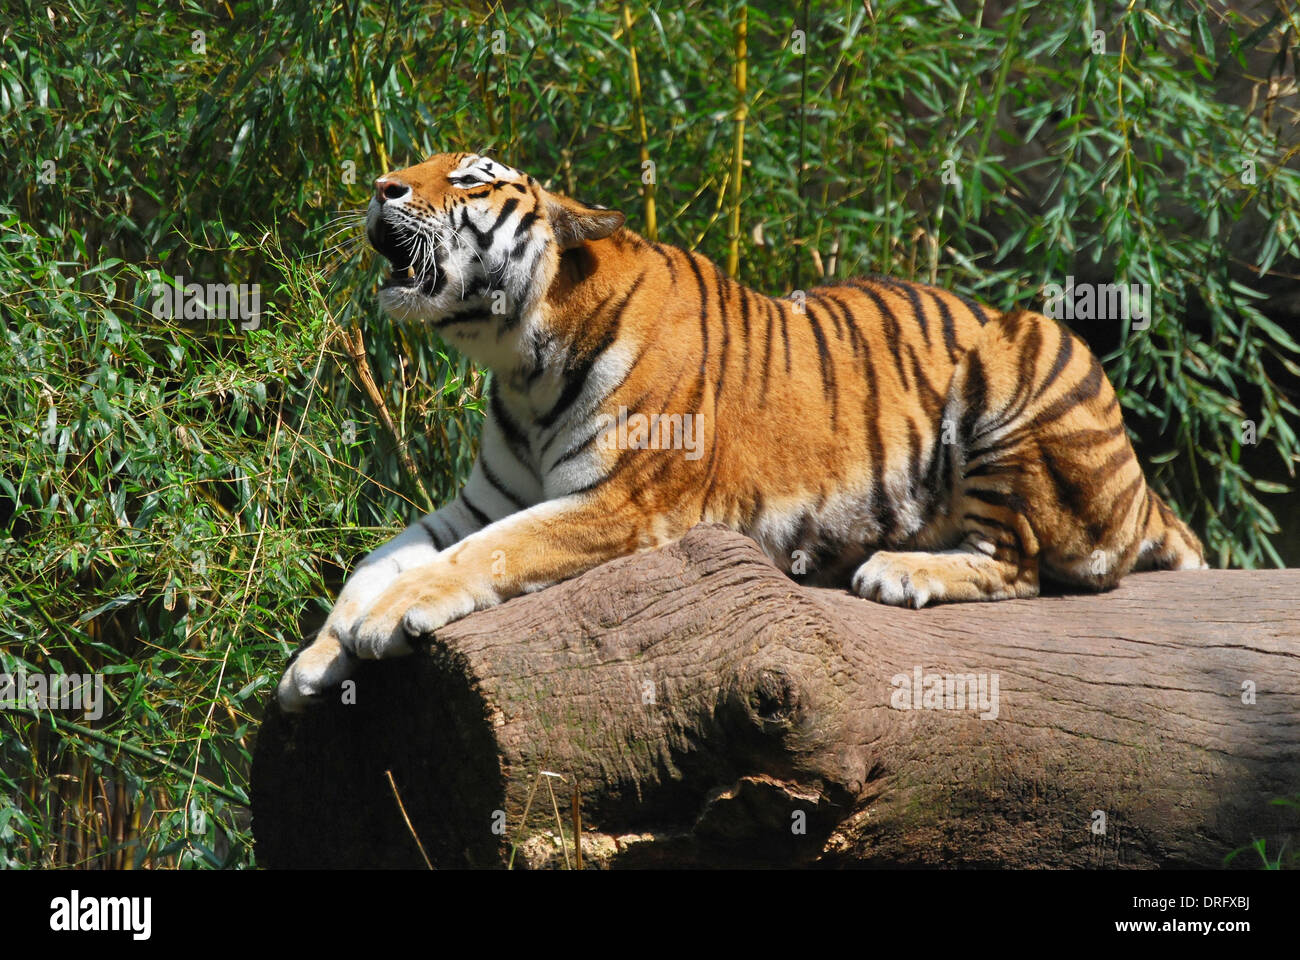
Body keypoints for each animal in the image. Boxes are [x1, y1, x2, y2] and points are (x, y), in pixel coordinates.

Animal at [276, 151, 1206, 711]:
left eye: (470, 181)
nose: (380, 188)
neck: (520, 357)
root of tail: (1145, 487)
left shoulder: (620, 503)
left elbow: (488, 553)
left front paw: (387, 621)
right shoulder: (479, 500)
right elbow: (379, 559)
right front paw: (314, 661)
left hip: (1021, 354)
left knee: (1021, 564)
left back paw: (900, 570)